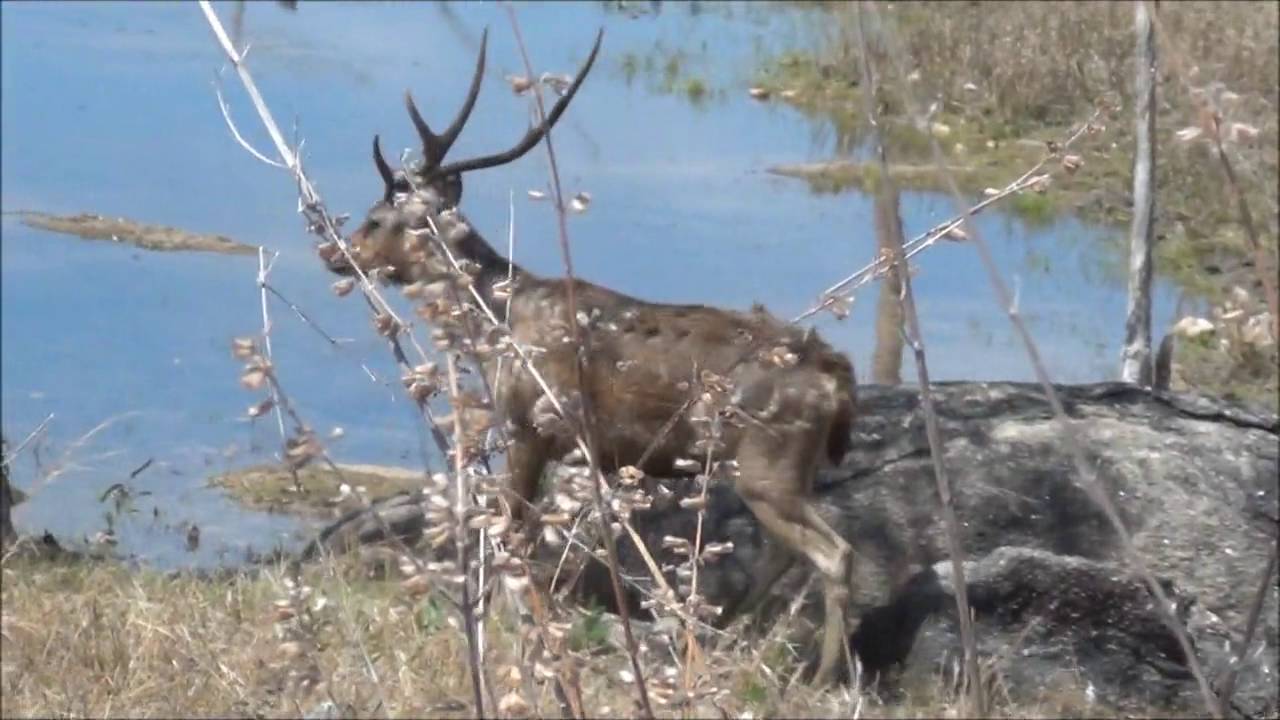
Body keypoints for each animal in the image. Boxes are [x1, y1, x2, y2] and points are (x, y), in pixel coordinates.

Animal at [322, 28, 861, 685]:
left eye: (376, 219)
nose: (333, 252)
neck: (498, 323)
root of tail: (836, 378)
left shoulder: (529, 425)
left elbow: (510, 531)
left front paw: (506, 632)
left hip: (768, 460)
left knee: (835, 553)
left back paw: (828, 673)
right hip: (779, 467)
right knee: (790, 551)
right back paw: (728, 639)